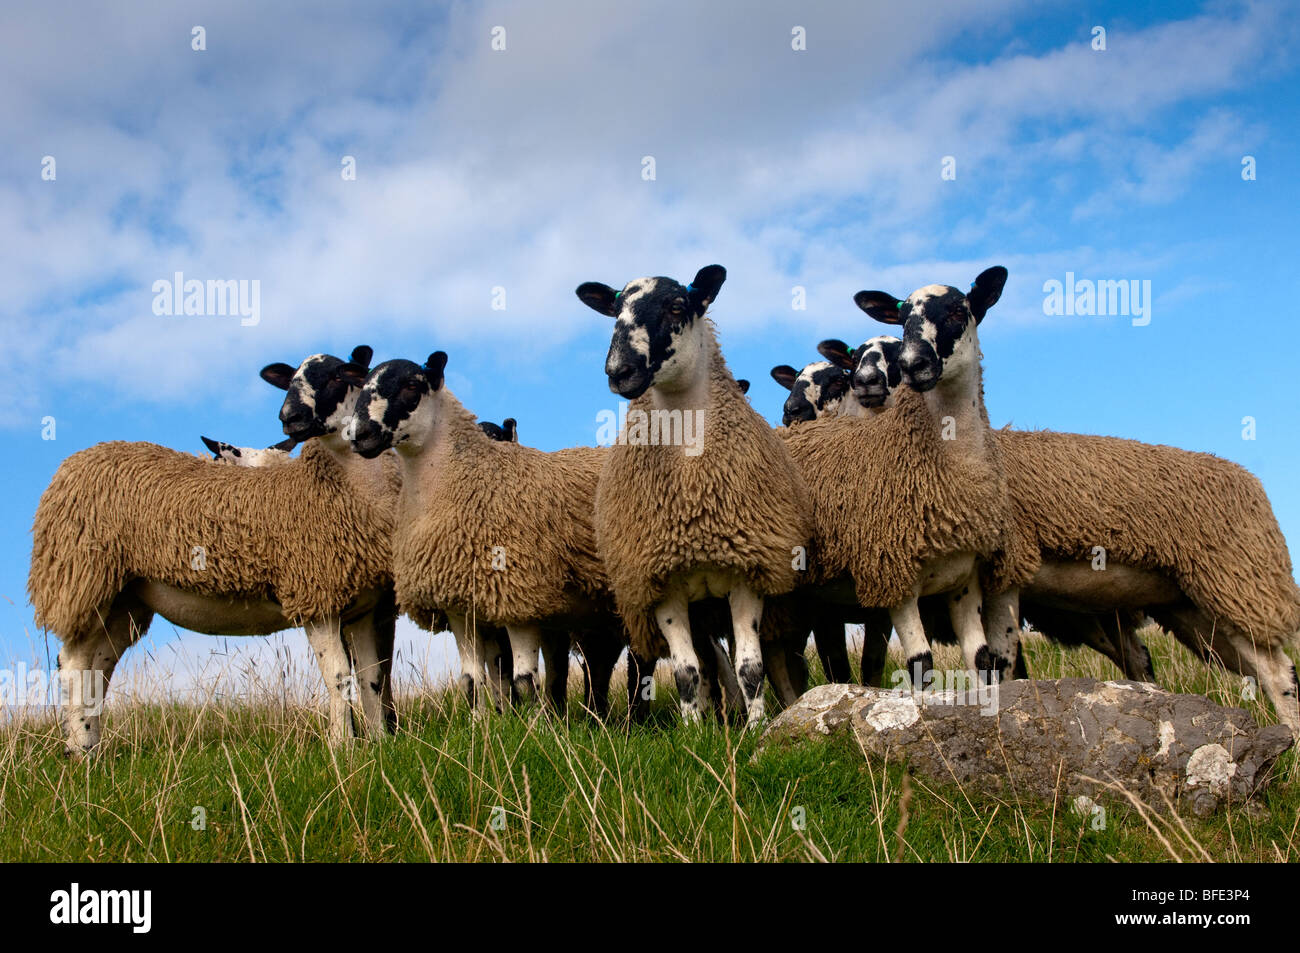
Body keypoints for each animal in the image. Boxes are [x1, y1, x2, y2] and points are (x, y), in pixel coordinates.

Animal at [28, 347, 402, 754]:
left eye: (337, 375)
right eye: (290, 380)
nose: (290, 418)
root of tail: (70, 463)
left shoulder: (363, 605)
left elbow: (371, 677)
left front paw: (381, 742)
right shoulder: (313, 596)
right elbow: (338, 675)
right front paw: (343, 746)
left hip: (124, 599)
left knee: (98, 664)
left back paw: (91, 747)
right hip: (83, 580)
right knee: (74, 663)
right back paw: (80, 748)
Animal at [576, 265, 813, 725]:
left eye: (676, 306)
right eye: (615, 310)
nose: (619, 370)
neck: (692, 489)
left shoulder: (746, 571)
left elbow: (751, 667)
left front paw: (758, 728)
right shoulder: (661, 583)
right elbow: (687, 672)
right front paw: (693, 730)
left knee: (771, 663)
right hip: (699, 612)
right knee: (704, 665)